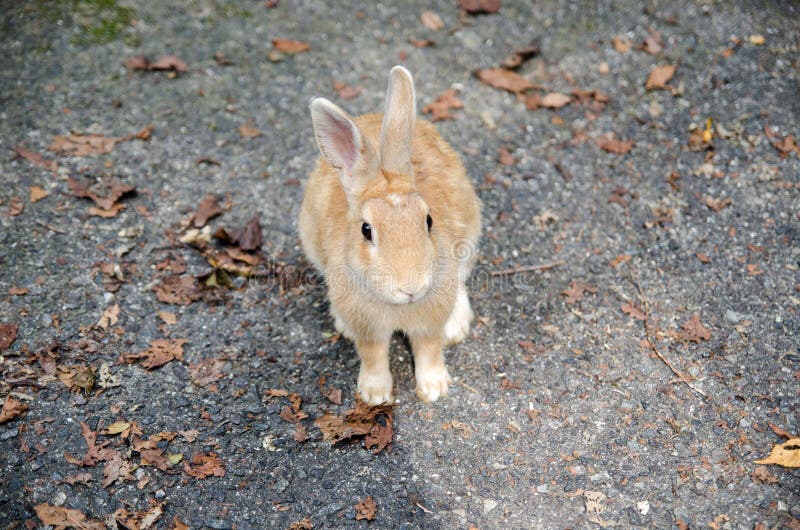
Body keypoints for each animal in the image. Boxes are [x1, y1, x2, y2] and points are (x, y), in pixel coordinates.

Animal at [298, 66, 481, 405]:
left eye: (429, 220)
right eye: (366, 230)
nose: (411, 288)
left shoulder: (429, 323)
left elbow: (429, 350)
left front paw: (434, 390)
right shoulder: (368, 329)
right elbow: (373, 356)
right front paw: (375, 395)